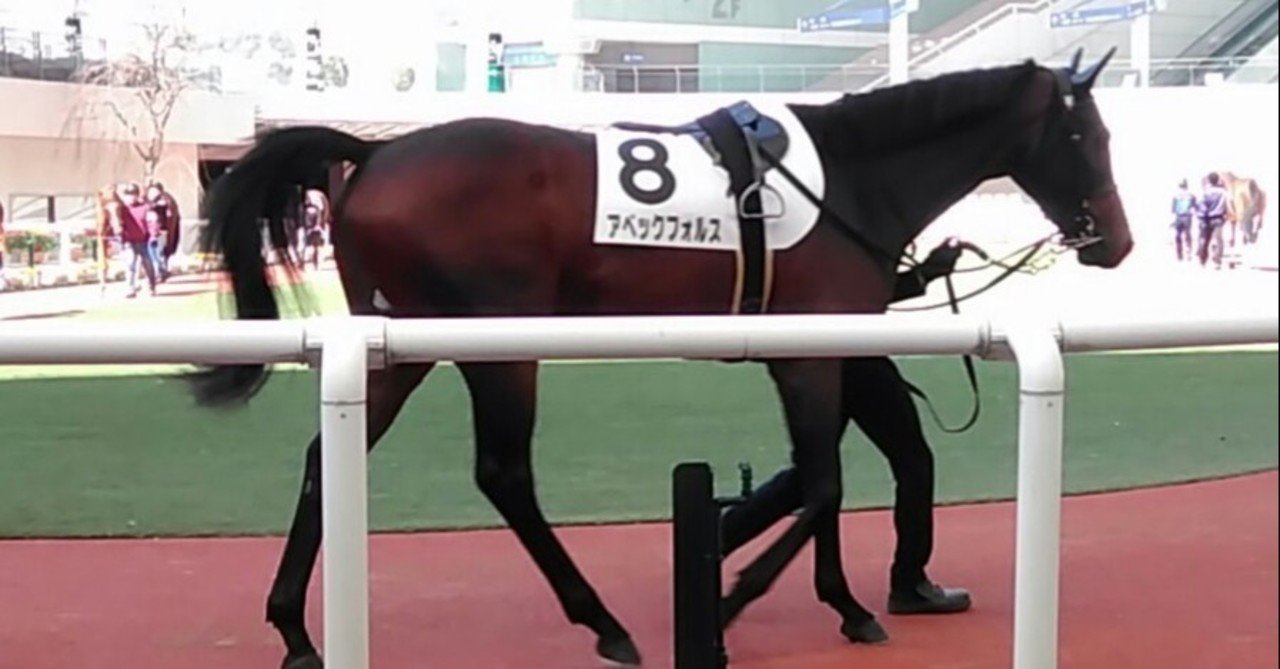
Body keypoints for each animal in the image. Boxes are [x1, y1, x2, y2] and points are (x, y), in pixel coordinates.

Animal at [188, 50, 1132, 669]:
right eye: (1087, 136)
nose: (1117, 241)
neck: (851, 177)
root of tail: (377, 151)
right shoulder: (808, 353)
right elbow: (824, 479)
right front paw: (728, 600)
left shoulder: (824, 346)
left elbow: (825, 474)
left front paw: (848, 602)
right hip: (495, 344)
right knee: (504, 472)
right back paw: (603, 621)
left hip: (396, 346)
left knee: (327, 457)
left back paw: (294, 629)